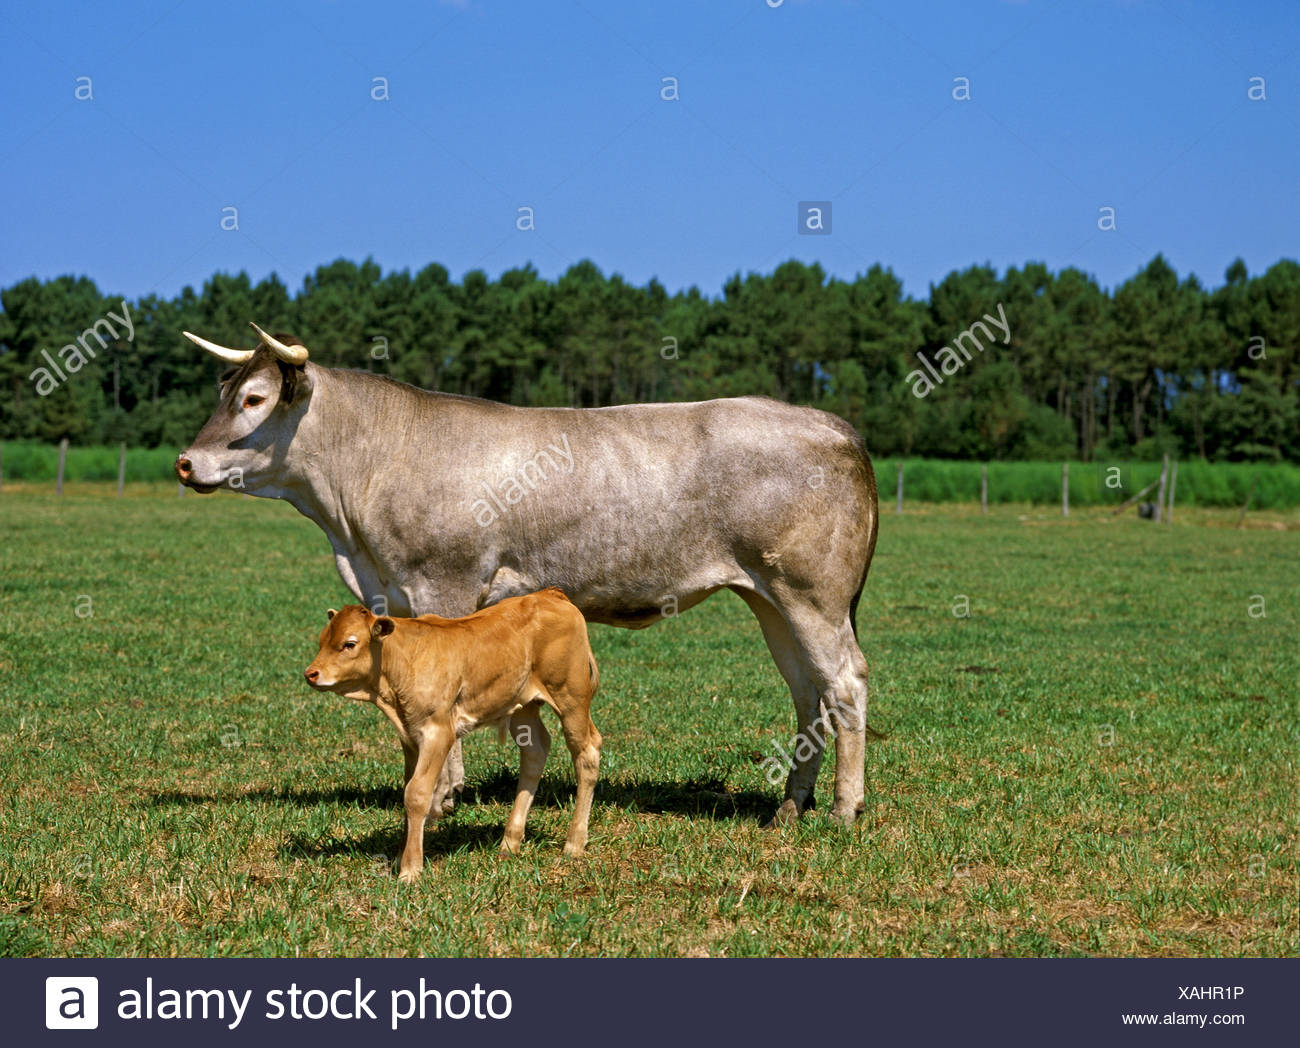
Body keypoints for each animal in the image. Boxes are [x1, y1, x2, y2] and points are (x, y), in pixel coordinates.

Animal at [176, 322, 880, 827]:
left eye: (255, 399)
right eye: (222, 394)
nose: (184, 462)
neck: (351, 525)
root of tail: (832, 425)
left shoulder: (444, 584)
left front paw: (441, 797)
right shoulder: (393, 592)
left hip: (811, 594)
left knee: (844, 682)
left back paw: (843, 810)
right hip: (771, 598)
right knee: (807, 691)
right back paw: (788, 807)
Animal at [304, 589, 601, 881]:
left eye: (350, 643)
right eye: (322, 640)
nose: (310, 674)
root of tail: (552, 595)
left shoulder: (438, 732)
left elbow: (417, 793)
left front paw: (410, 868)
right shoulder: (409, 736)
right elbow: (408, 788)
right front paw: (400, 856)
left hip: (570, 695)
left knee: (587, 752)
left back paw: (574, 843)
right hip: (523, 705)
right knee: (535, 752)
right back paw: (509, 842)